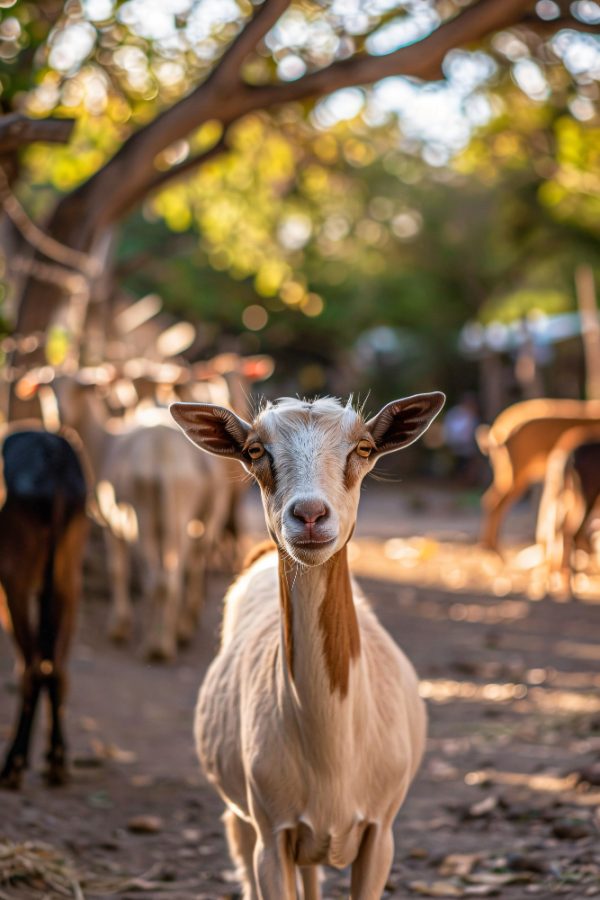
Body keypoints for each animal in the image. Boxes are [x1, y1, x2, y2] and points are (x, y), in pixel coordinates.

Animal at [171, 392, 445, 899]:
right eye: (255, 451)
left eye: (363, 448)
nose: (311, 515)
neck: (332, 760)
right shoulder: (271, 831)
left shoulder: (381, 832)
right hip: (242, 819)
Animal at [477, 399, 600, 551]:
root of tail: (497, 432)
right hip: (517, 470)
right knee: (495, 502)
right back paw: (490, 547)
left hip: (512, 472)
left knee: (491, 501)